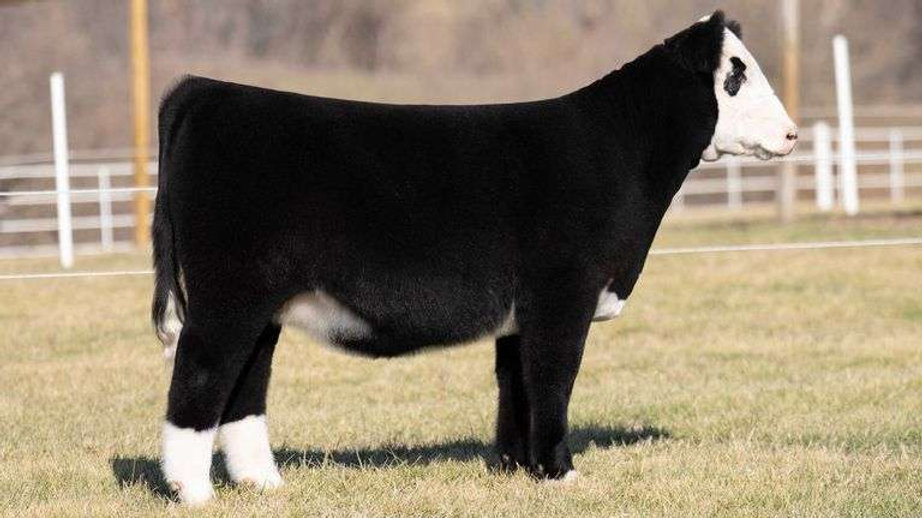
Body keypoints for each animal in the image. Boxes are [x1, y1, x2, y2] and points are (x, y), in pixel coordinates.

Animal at [152, 11, 796, 505]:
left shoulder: (522, 313)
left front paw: (517, 469)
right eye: (735, 78)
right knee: (199, 378)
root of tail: (205, 91)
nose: (791, 134)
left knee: (243, 390)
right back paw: (194, 493)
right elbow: (553, 381)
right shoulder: (562, 297)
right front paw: (562, 473)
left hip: (264, 308)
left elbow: (516, 387)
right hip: (228, 299)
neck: (616, 149)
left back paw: (263, 485)